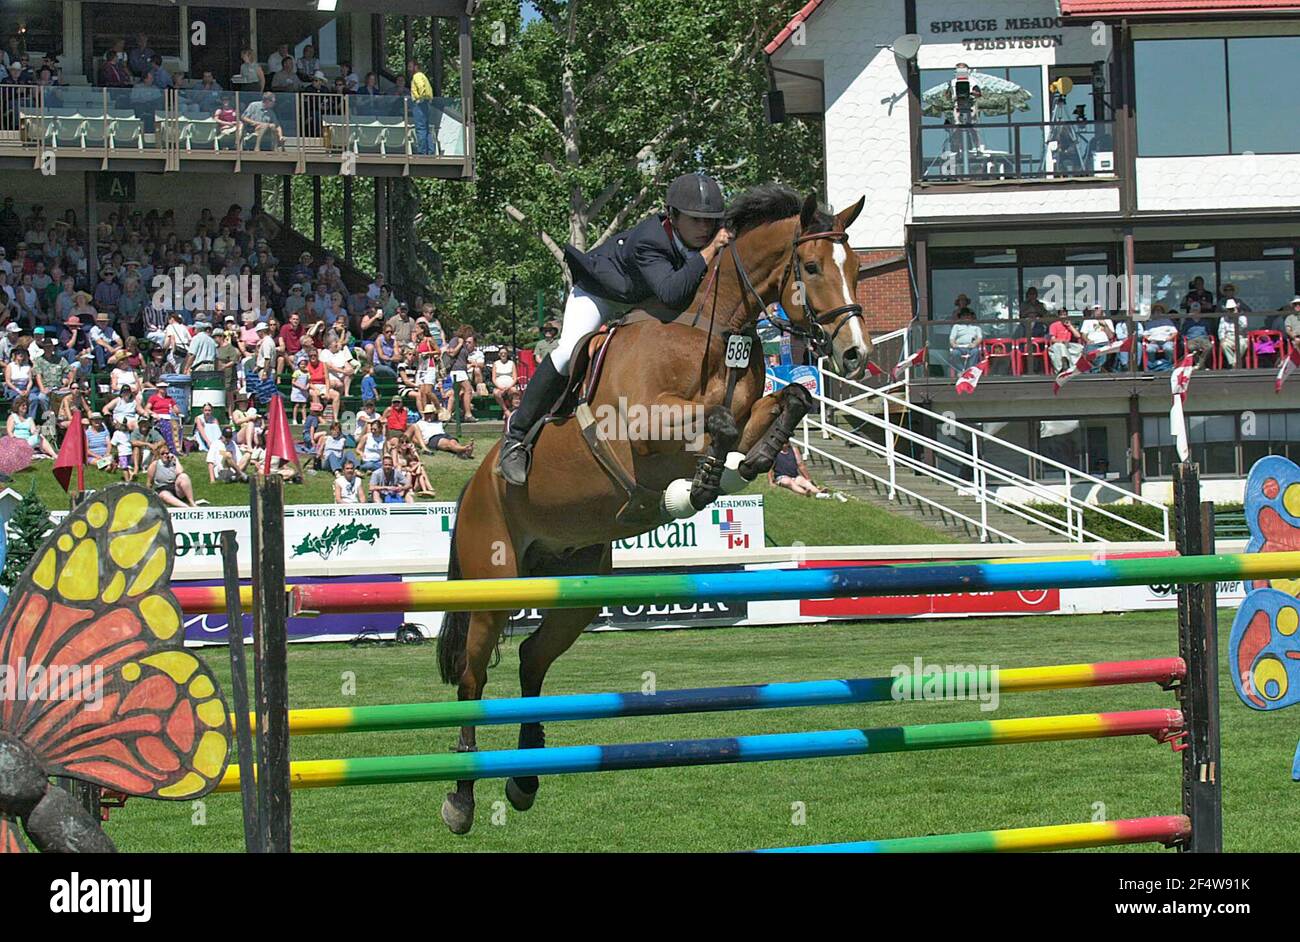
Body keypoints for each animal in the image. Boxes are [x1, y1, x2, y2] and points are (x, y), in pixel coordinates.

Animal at [435, 184, 870, 833]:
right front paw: (692, 488)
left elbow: (784, 400)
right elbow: (718, 421)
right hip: (495, 581)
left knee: (534, 657)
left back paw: (525, 777)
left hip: (577, 586)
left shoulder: (744, 410)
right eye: (812, 267)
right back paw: (462, 797)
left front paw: (745, 463)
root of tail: (473, 487)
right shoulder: (641, 426)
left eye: (858, 267)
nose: (855, 355)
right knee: (472, 674)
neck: (711, 330)